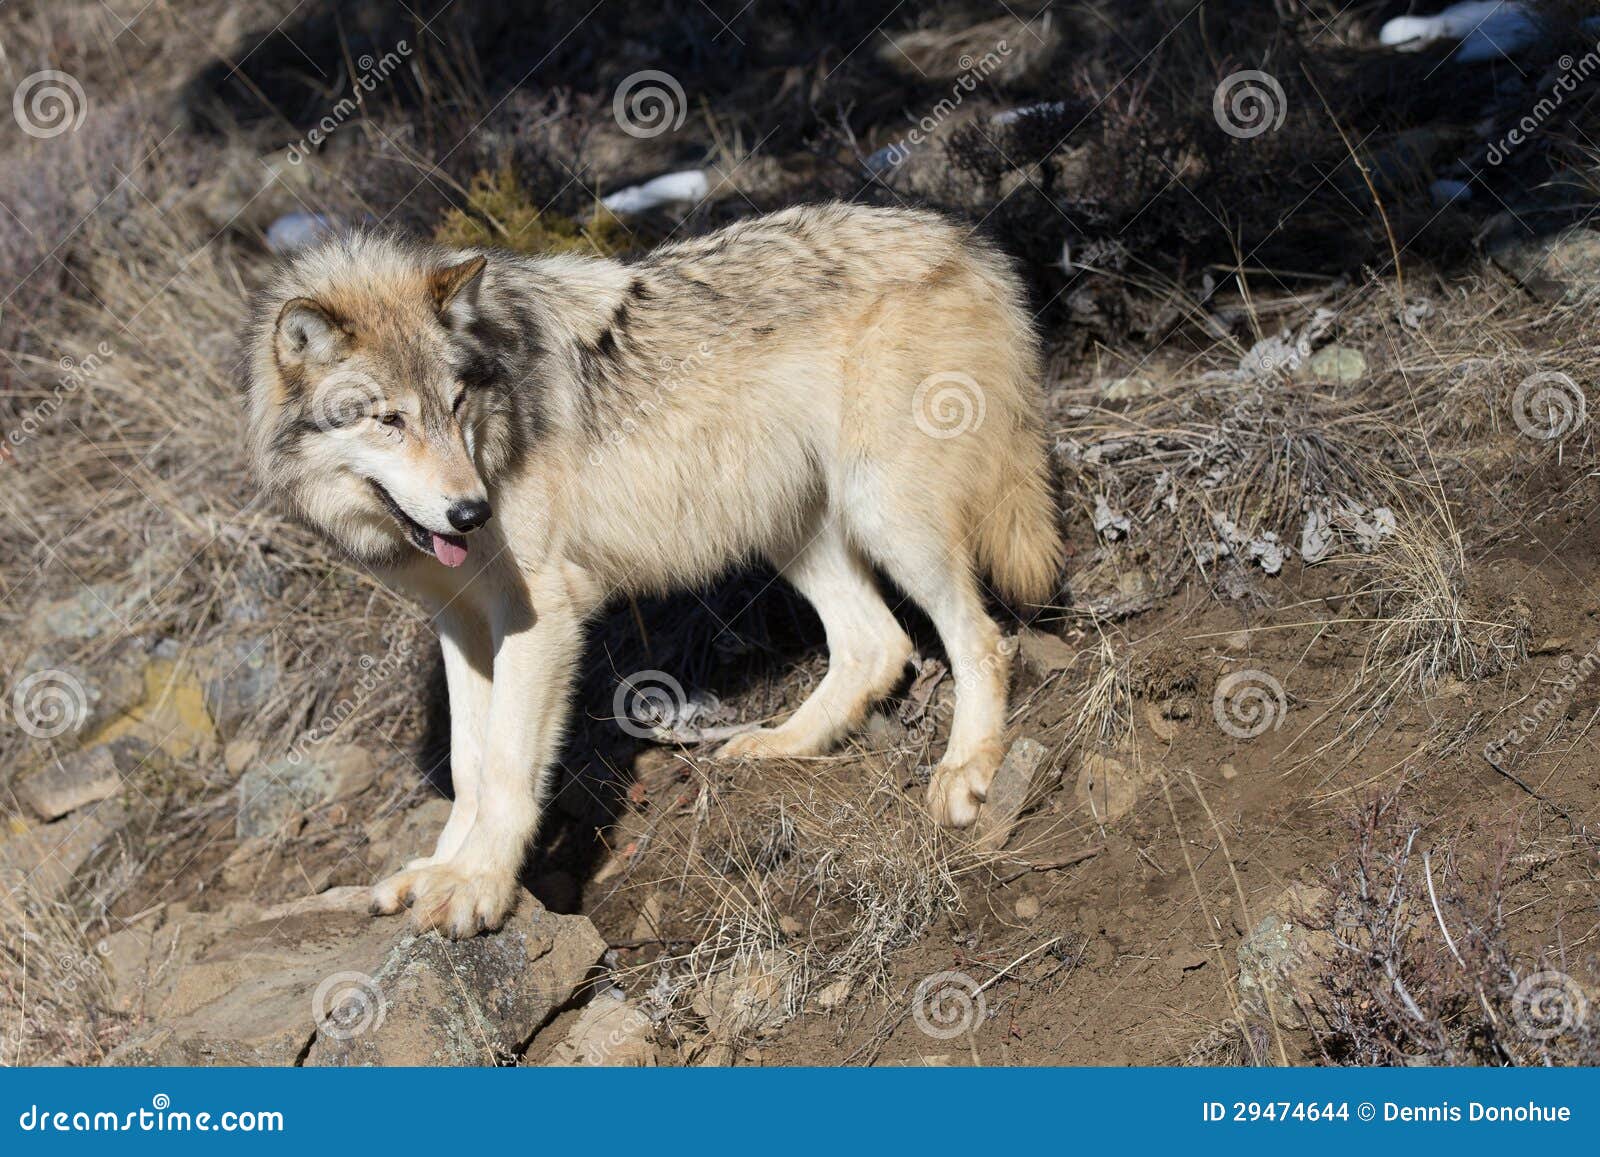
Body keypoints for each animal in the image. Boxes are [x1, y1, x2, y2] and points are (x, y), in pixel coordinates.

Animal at [244, 203, 1061, 937]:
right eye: (389, 419)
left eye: (456, 402)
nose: (471, 512)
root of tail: (968, 243)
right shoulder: (461, 622)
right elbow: (467, 767)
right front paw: (439, 871)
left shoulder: (540, 614)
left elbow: (505, 768)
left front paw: (477, 886)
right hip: (788, 526)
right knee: (878, 645)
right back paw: (781, 743)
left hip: (885, 512)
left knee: (980, 639)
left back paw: (964, 770)